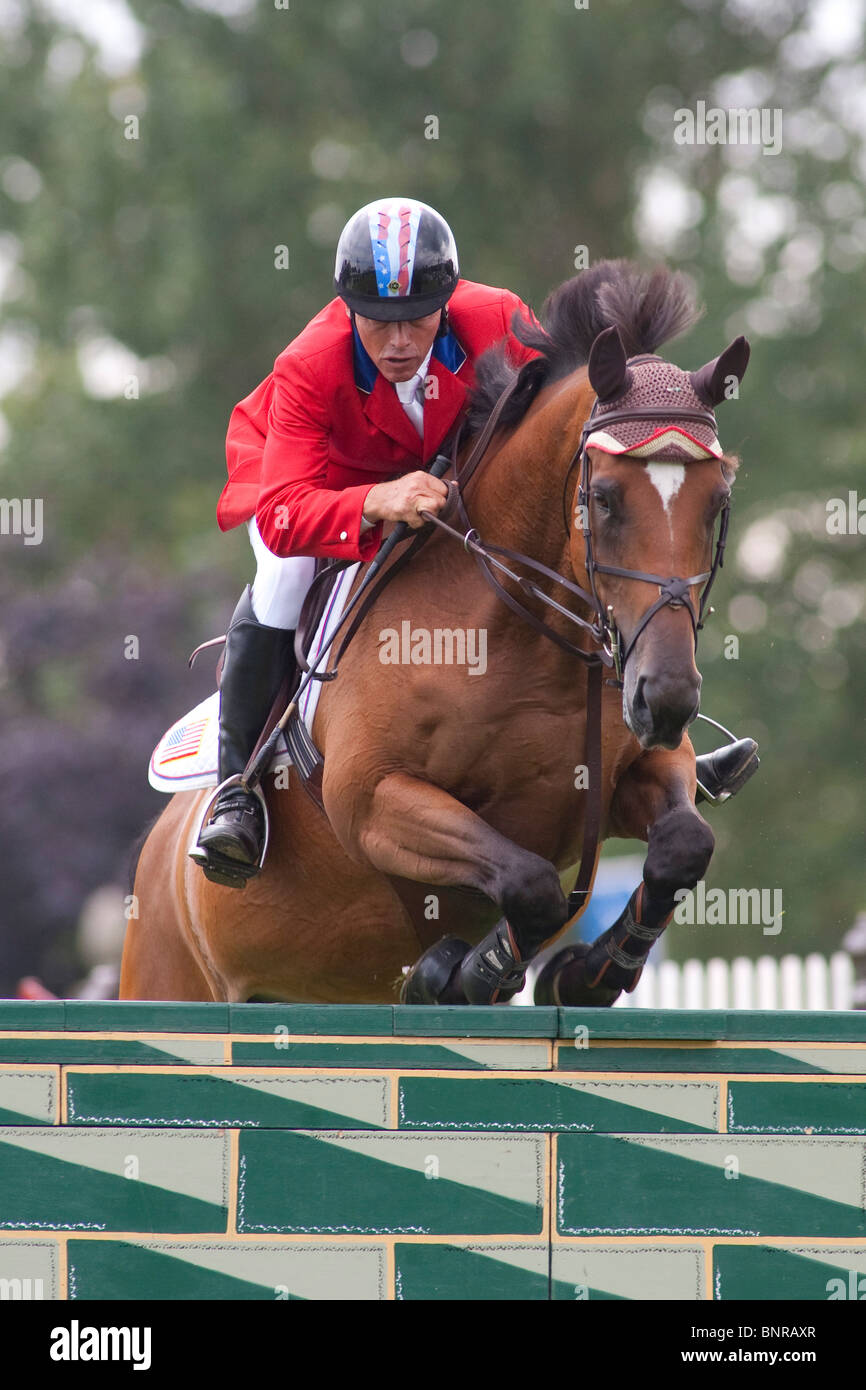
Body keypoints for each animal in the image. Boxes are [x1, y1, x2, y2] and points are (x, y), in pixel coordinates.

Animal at [121, 259, 749, 1007]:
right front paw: (469, 973)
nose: (668, 698)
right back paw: (232, 822)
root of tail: (158, 853)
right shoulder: (374, 801)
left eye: (718, 502)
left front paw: (590, 973)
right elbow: (532, 886)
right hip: (165, 978)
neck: (521, 642)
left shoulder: (632, 777)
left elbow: (684, 845)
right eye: (603, 499)